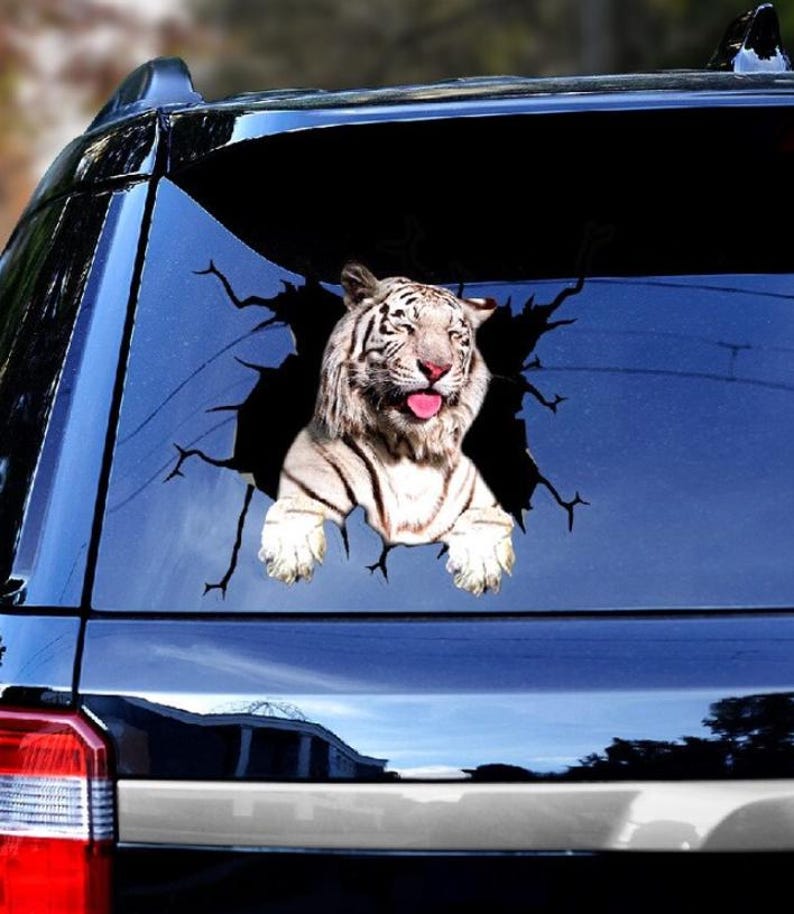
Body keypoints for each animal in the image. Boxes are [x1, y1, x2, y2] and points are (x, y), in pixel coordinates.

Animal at [259, 262, 515, 595]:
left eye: (454, 334)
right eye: (406, 326)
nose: (437, 368)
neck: (409, 447)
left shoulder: (481, 500)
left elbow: (488, 520)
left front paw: (482, 567)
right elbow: (296, 508)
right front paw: (289, 557)